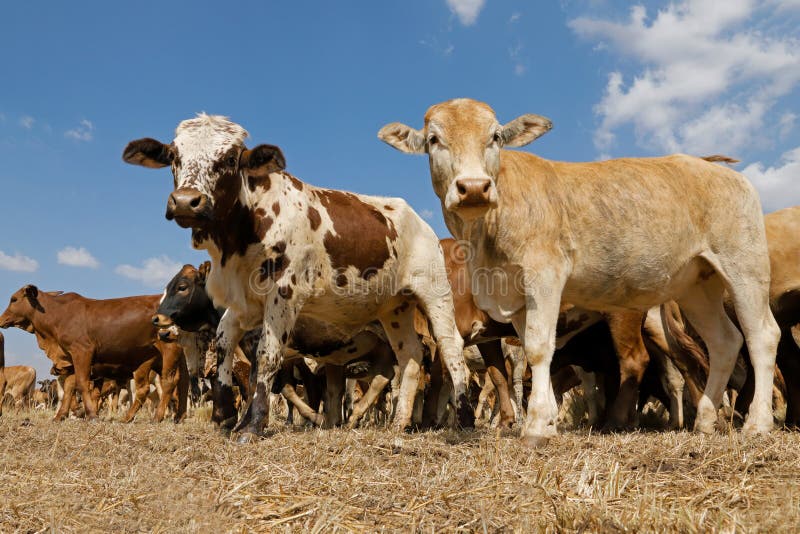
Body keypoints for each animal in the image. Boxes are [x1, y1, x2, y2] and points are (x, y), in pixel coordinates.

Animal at [0, 286, 189, 423]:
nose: (1, 320)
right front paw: (61, 416)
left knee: (166, 384)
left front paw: (91, 414)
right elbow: (69, 389)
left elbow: (82, 385)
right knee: (179, 384)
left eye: (14, 299)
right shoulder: (71, 360)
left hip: (165, 353)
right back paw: (175, 417)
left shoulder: (82, 352)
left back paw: (153, 417)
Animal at [123, 114, 467, 440]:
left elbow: (266, 358)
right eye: (174, 155)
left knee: (451, 347)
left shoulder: (284, 296)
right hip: (394, 308)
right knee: (409, 355)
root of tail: (418, 220)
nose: (185, 201)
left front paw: (252, 426)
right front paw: (228, 417)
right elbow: (224, 343)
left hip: (434, 293)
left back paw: (464, 419)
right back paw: (399, 423)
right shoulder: (244, 303)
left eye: (231, 158)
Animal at [379, 98, 779, 446]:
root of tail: (709, 164)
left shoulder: (544, 276)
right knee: (723, 342)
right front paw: (547, 422)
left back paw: (757, 423)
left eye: (495, 136)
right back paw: (706, 421)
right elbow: (530, 351)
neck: (483, 241)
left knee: (761, 335)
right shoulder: (516, 299)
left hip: (743, 265)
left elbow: (539, 349)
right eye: (434, 140)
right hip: (697, 284)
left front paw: (536, 427)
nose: (474, 187)